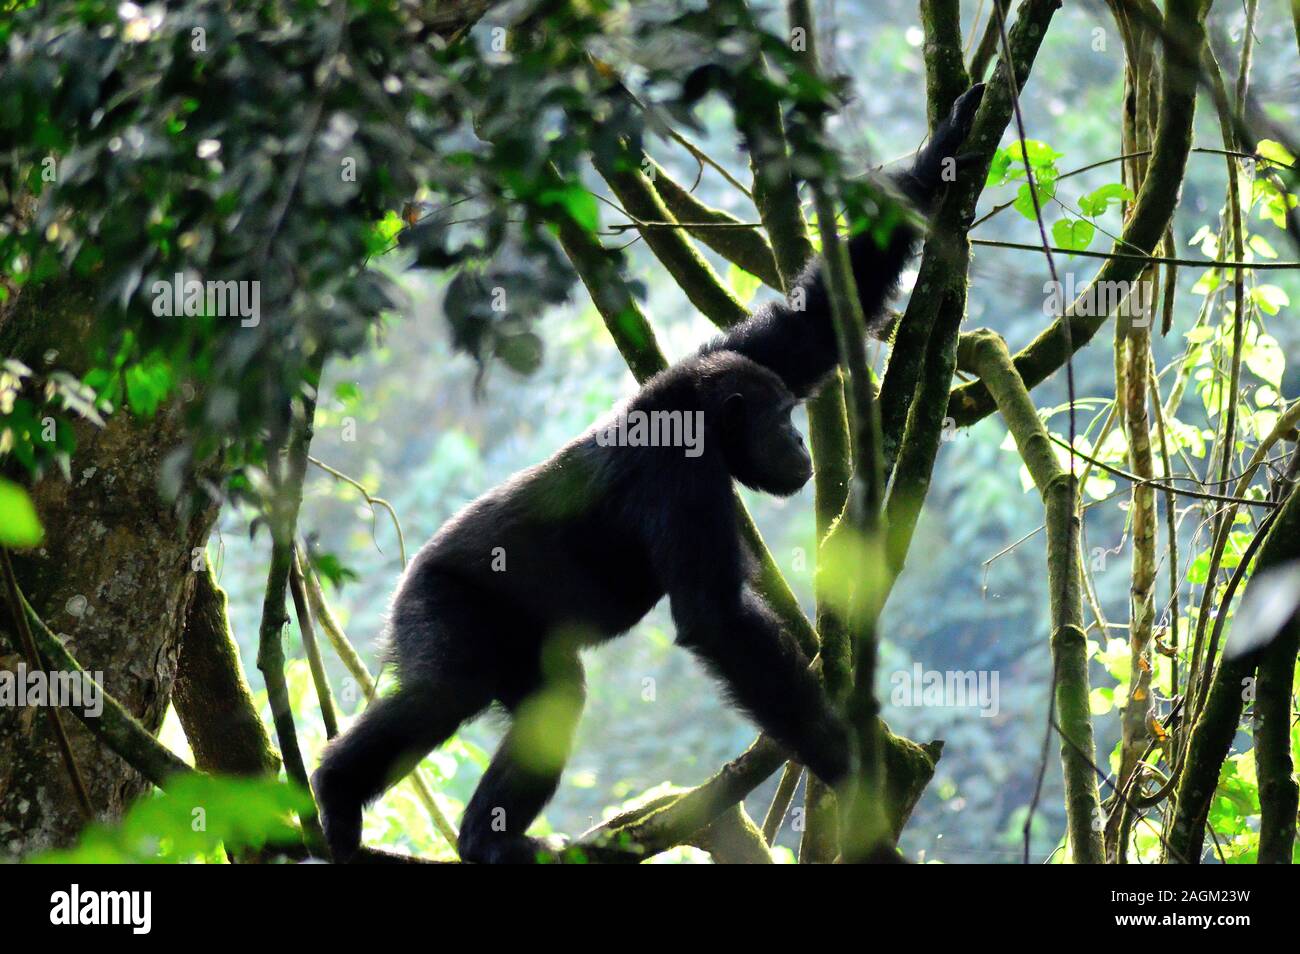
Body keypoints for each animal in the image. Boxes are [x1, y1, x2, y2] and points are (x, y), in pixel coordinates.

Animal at [312, 83, 986, 863]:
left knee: (547, 700)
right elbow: (718, 621)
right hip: (443, 606)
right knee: (440, 695)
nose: (798, 442)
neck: (691, 418)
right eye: (778, 420)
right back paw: (340, 791)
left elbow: (808, 326)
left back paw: (480, 836)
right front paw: (850, 775)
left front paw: (941, 152)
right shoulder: (679, 480)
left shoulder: (727, 356)